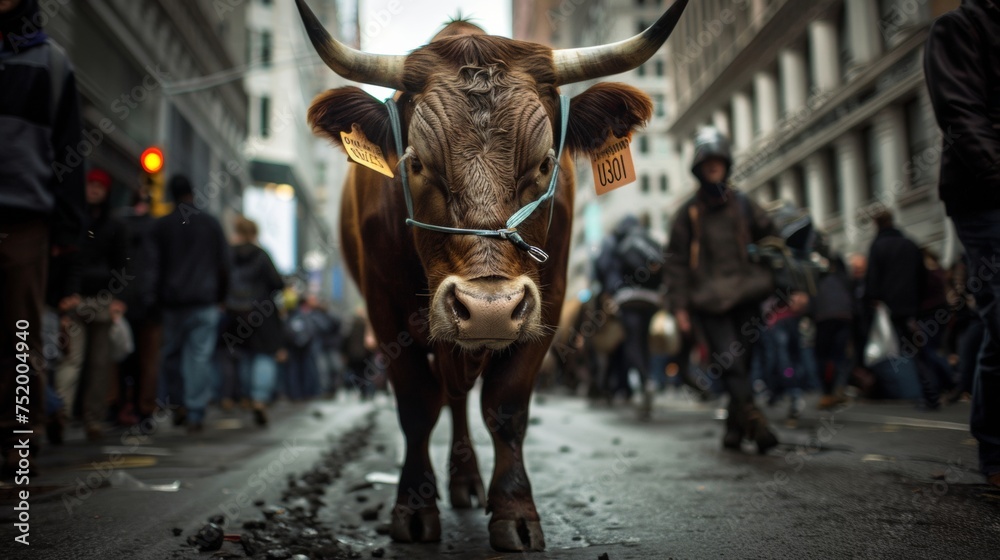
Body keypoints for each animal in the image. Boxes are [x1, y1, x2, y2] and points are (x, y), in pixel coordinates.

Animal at [295, 0, 688, 552]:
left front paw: (515, 511)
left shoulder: (546, 300)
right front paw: (413, 507)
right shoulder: (383, 307)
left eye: (544, 164)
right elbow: (417, 405)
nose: (489, 311)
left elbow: (506, 407)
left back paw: (466, 482)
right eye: (416, 164)